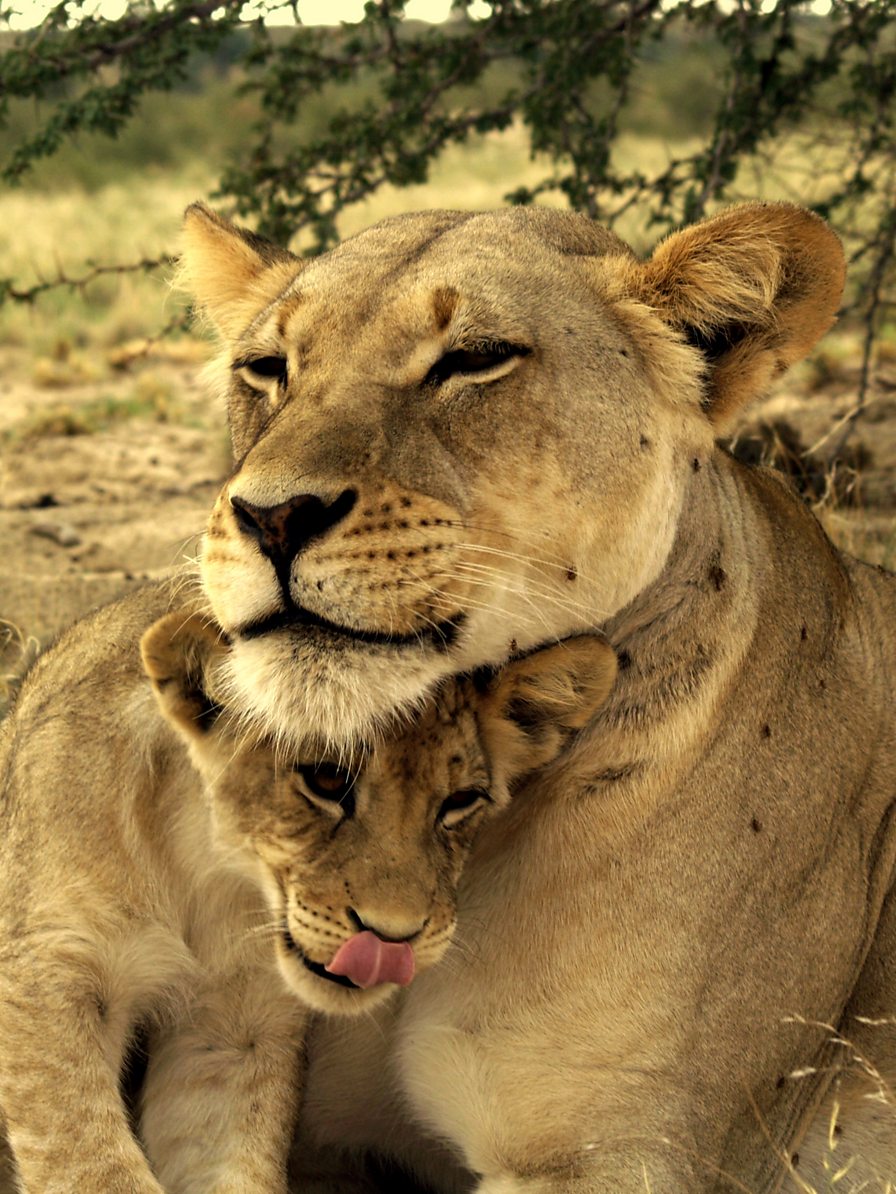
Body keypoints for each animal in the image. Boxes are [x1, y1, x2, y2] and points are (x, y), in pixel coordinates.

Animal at [0, 595, 613, 1193]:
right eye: (326, 779)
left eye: (461, 801)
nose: (394, 938)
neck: (205, 874)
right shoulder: (50, 976)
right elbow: (92, 1165)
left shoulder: (236, 1033)